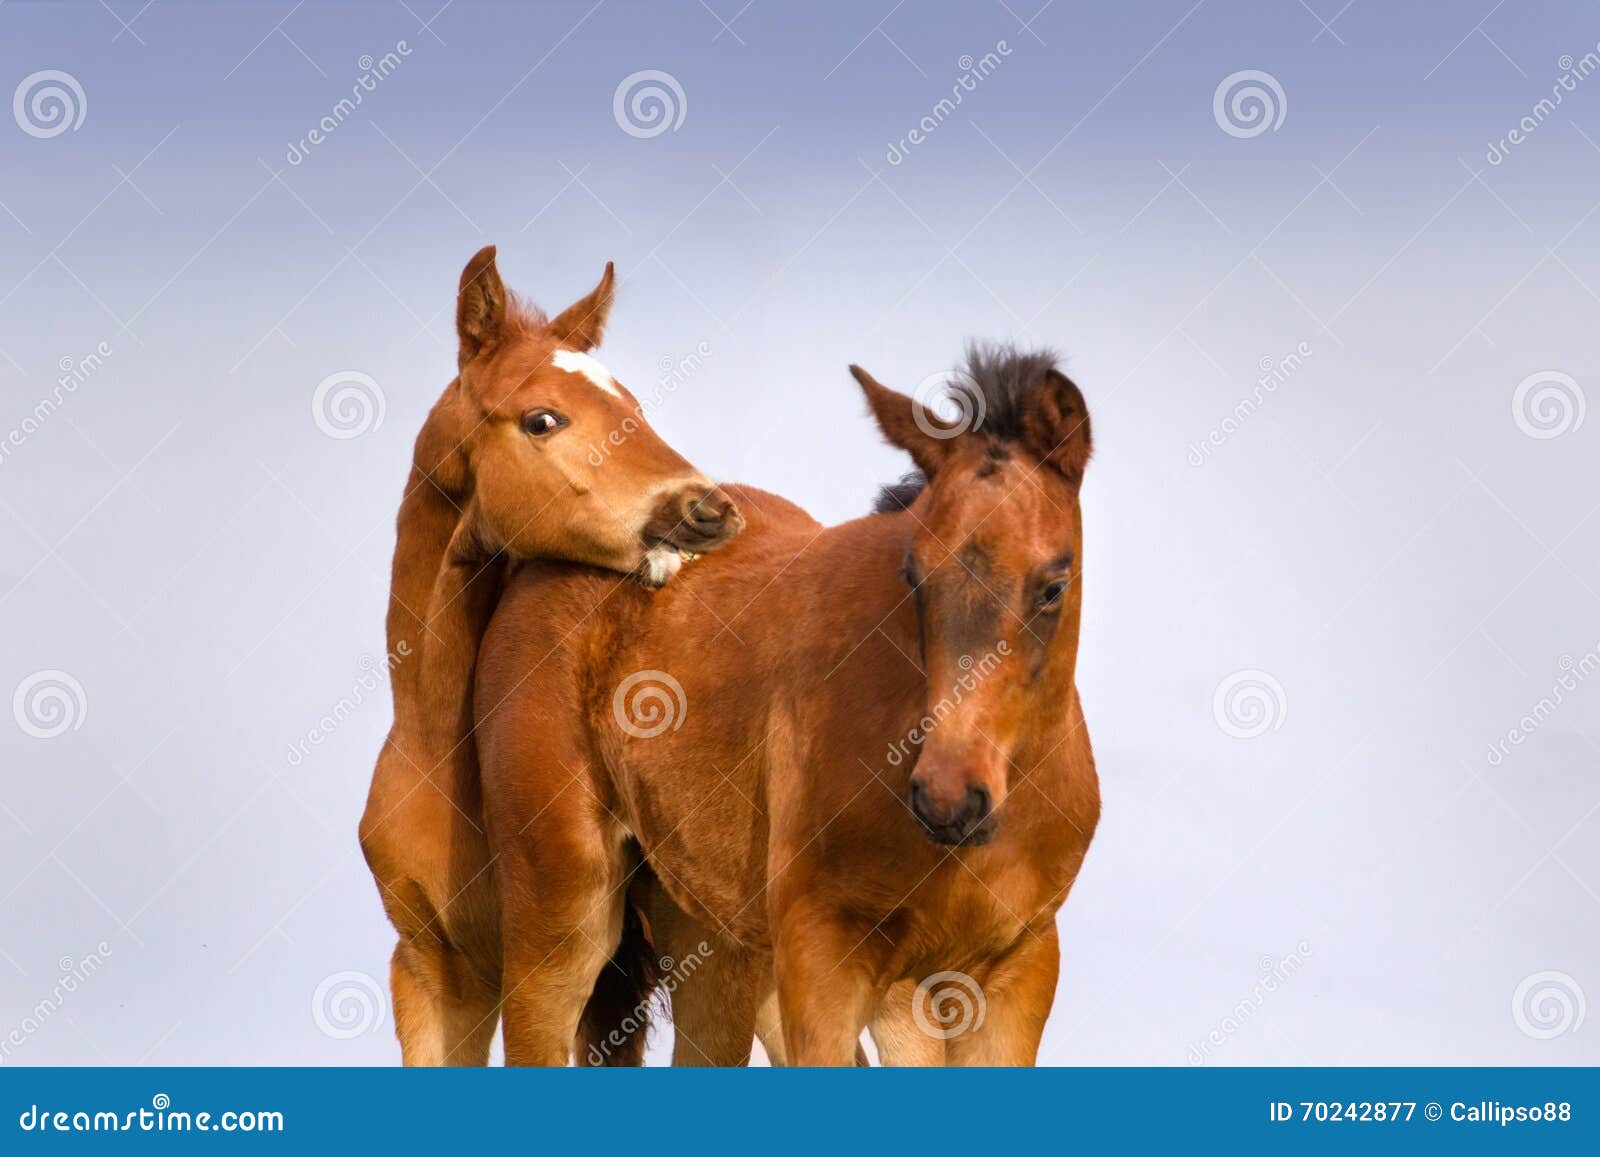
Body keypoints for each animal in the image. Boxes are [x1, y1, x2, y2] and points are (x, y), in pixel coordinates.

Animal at [357, 245, 743, 1066]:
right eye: (543, 419)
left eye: (636, 408)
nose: (710, 511)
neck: (440, 752)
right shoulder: (434, 970)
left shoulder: (580, 973)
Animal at [474, 345, 1100, 1065]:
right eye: (913, 574)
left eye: (1054, 584)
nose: (948, 797)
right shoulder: (824, 956)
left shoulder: (1011, 969)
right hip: (558, 921)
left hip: (715, 941)